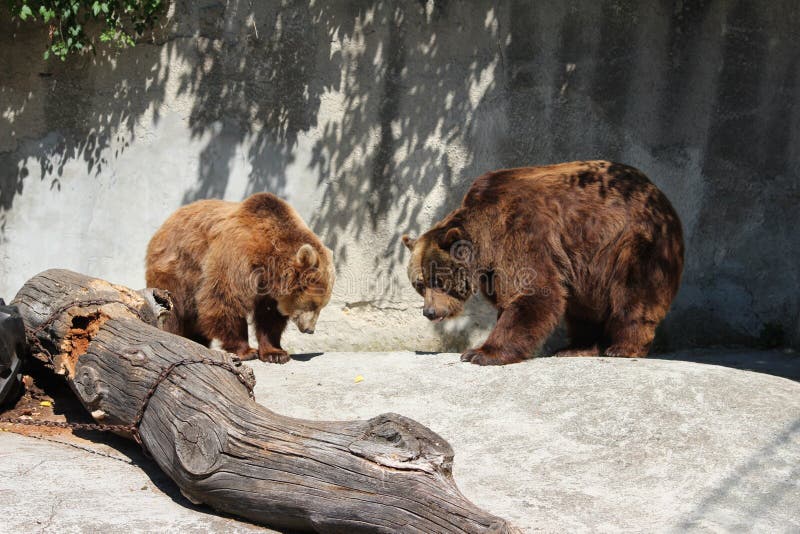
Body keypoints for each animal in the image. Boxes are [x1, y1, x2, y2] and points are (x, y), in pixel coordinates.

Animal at [145, 193, 334, 364]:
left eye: (322, 306)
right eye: (313, 304)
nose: (310, 329)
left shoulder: (269, 290)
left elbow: (269, 316)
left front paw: (276, 353)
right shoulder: (236, 255)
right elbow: (225, 299)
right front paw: (246, 351)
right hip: (177, 269)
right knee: (174, 309)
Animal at [402, 160, 684, 365]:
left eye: (438, 281)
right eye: (420, 284)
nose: (430, 312)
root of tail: (659, 192)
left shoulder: (520, 229)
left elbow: (534, 290)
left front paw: (479, 353)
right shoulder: (495, 266)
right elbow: (512, 297)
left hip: (633, 241)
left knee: (633, 293)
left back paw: (623, 347)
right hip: (588, 262)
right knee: (584, 306)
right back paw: (576, 348)